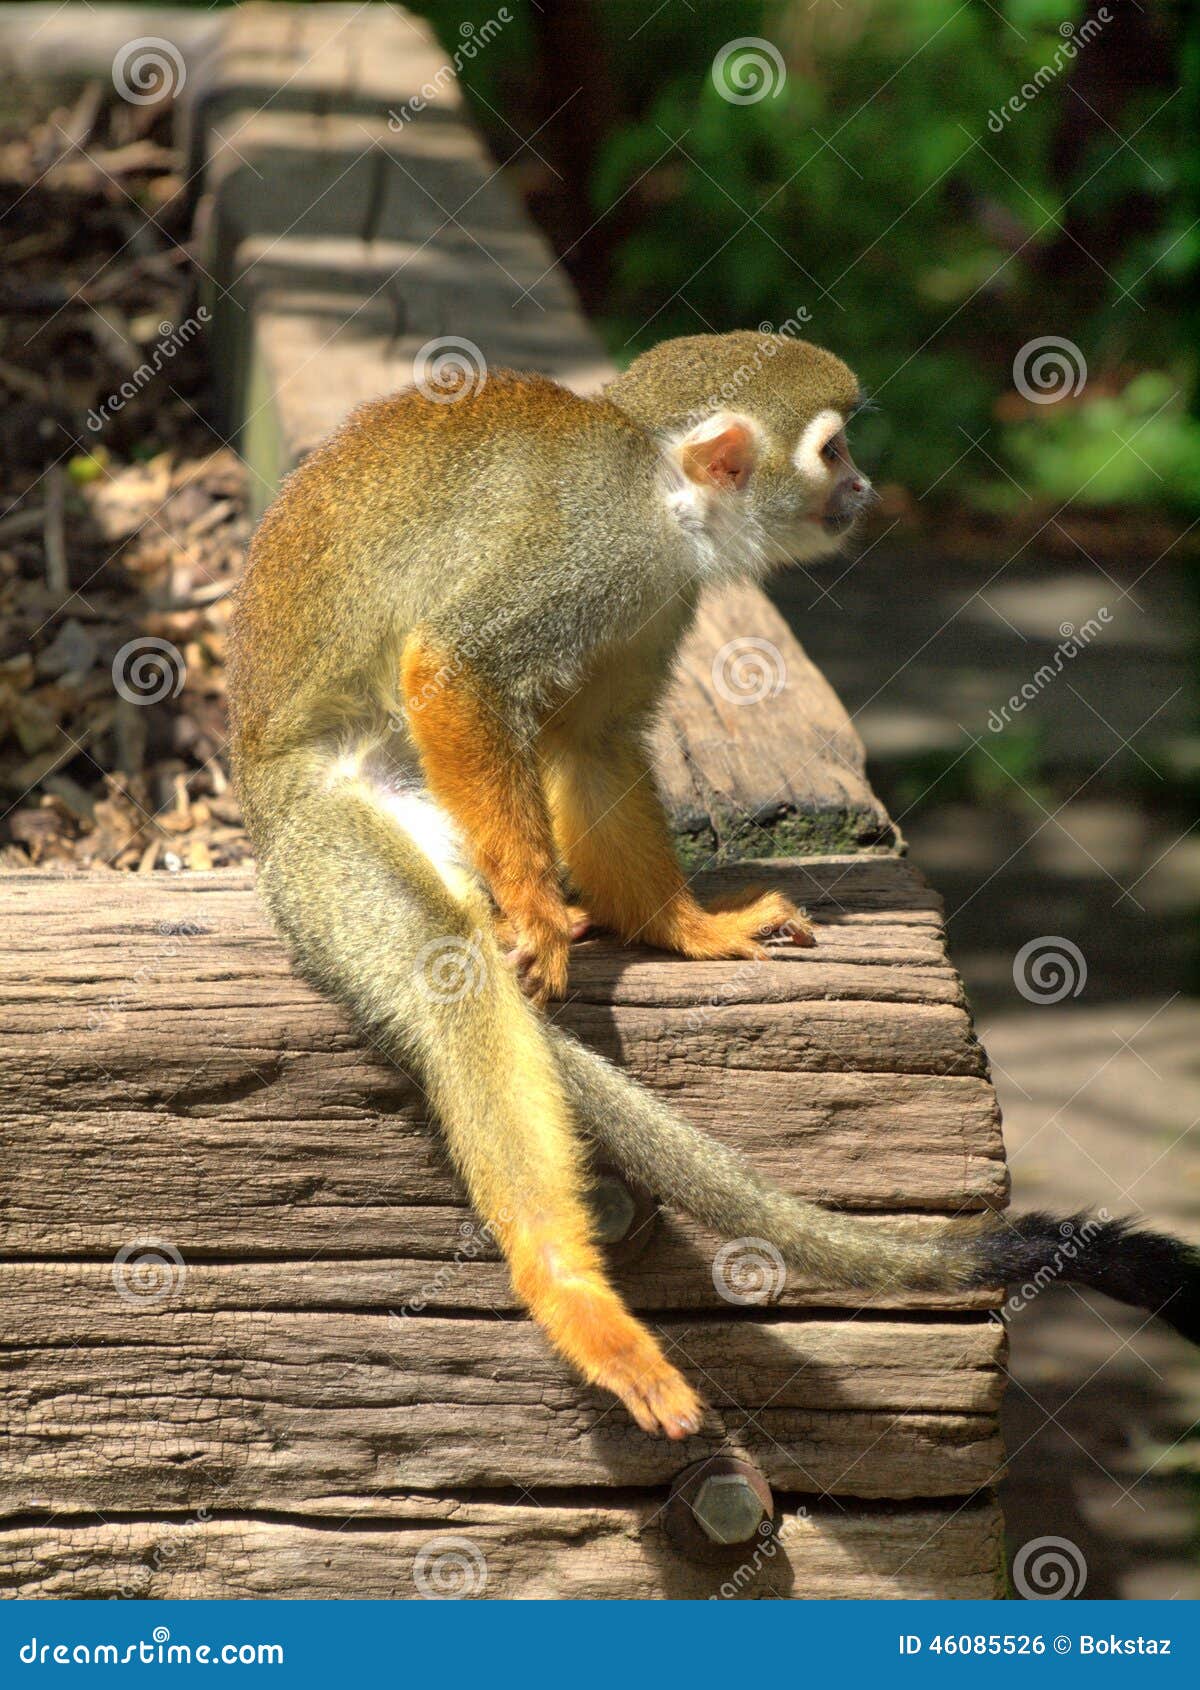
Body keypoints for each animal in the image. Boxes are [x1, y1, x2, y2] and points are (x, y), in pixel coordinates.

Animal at [227, 330, 1199, 1440]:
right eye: (832, 449)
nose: (864, 487)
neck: (660, 496)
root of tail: (261, 816)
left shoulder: (660, 585)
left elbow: (592, 737)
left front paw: (687, 926)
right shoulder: (597, 546)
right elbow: (452, 670)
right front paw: (537, 910)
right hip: (324, 847)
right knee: (448, 973)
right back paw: (571, 1290)